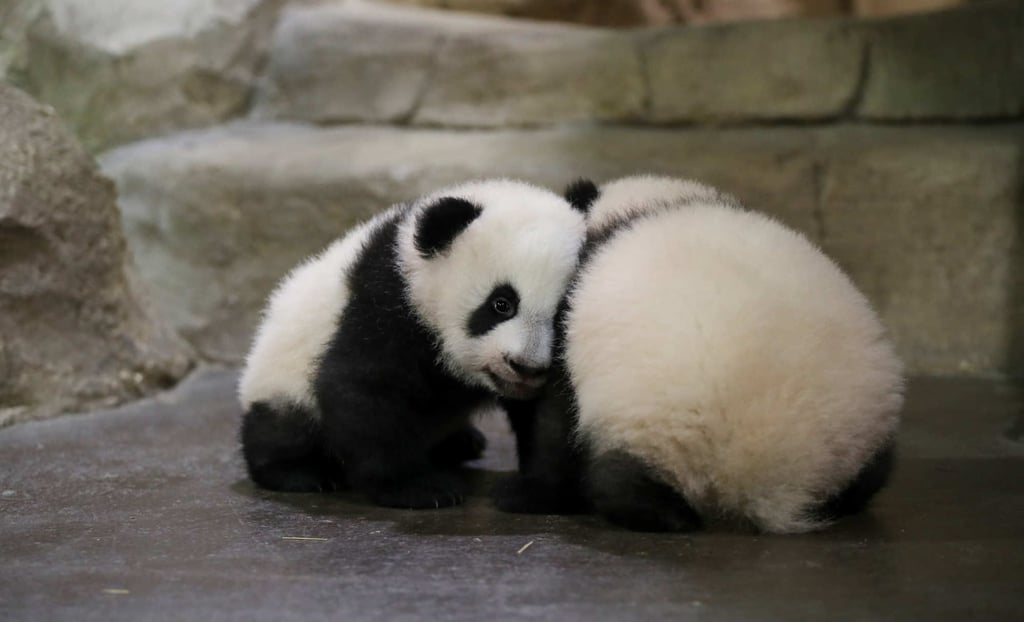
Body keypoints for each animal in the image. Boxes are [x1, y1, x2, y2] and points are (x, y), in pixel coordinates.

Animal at [238, 179, 587, 509]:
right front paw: (417, 488)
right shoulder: (384, 306)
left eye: (562, 311)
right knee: (282, 427)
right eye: (501, 304)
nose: (526, 367)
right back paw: (302, 472)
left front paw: (536, 490)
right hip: (283, 375)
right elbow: (366, 389)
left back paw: (460, 443)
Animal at [496, 175, 904, 533]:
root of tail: (772, 487)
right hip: (860, 437)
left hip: (654, 422)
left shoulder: (570, 313)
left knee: (623, 482)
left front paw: (529, 493)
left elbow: (555, 421)